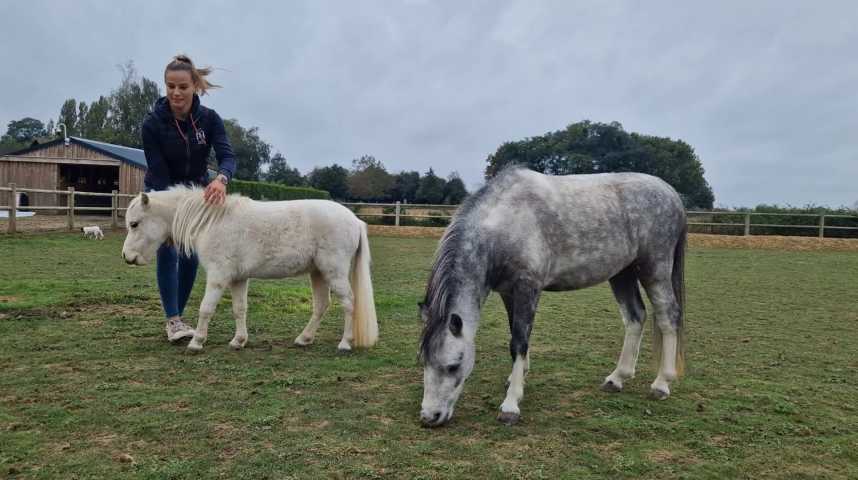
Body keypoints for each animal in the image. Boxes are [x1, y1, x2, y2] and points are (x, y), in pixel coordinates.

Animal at [121, 186, 378, 353]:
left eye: (134, 224)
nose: (127, 257)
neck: (212, 222)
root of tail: (355, 221)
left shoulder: (218, 277)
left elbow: (206, 309)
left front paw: (197, 342)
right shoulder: (238, 279)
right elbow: (239, 309)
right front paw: (239, 341)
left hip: (334, 272)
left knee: (349, 303)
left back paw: (345, 343)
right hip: (318, 274)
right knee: (321, 305)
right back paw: (304, 339)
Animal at [418, 167, 686, 427]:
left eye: (453, 365)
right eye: (424, 361)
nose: (430, 417)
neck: (506, 222)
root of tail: (671, 193)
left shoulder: (528, 287)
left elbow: (519, 342)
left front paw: (511, 405)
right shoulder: (508, 292)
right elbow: (514, 335)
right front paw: (516, 378)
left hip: (654, 269)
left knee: (668, 317)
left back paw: (662, 383)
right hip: (622, 273)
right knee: (635, 317)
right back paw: (617, 378)